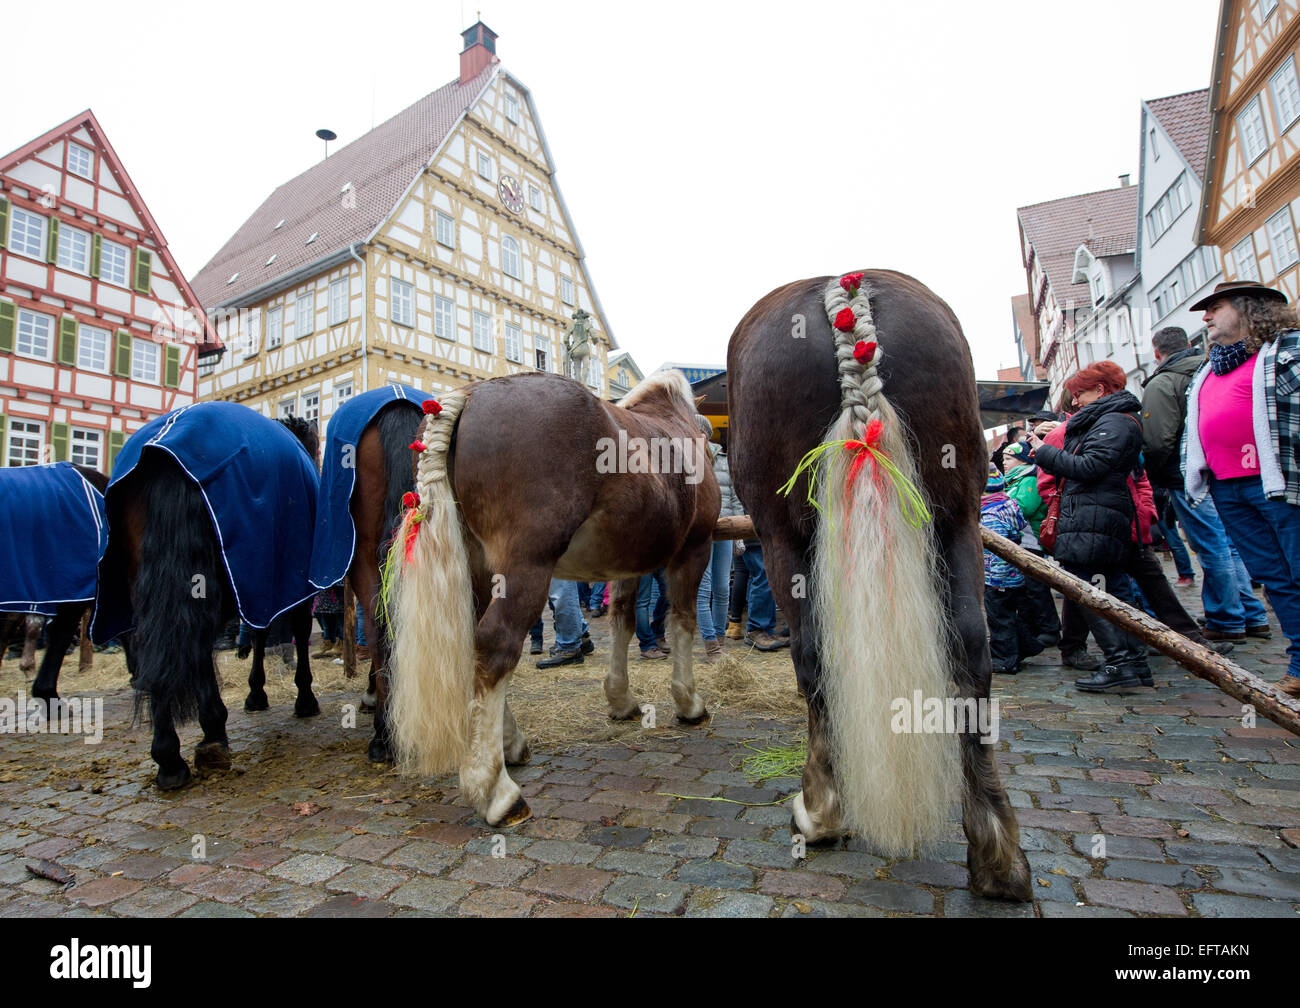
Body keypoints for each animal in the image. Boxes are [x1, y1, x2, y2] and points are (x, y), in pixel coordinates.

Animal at [92, 403, 321, 789]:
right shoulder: (283, 586)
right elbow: (291, 633)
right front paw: (301, 697)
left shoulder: (259, 585)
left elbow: (258, 634)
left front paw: (256, 694)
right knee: (197, 646)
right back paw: (211, 732)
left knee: (164, 647)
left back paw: (171, 756)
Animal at [384, 370, 719, 826]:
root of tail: (469, 396)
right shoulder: (694, 550)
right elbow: (683, 620)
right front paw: (688, 703)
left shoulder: (626, 564)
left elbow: (623, 621)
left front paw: (621, 699)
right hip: (526, 568)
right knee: (496, 645)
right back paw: (495, 790)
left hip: (480, 568)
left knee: (477, 645)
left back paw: (510, 745)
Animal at [727, 269, 1032, 901]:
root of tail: (843, 293)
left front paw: (819, 812)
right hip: (957, 516)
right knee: (973, 650)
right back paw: (997, 853)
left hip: (782, 534)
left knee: (812, 656)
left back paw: (821, 809)